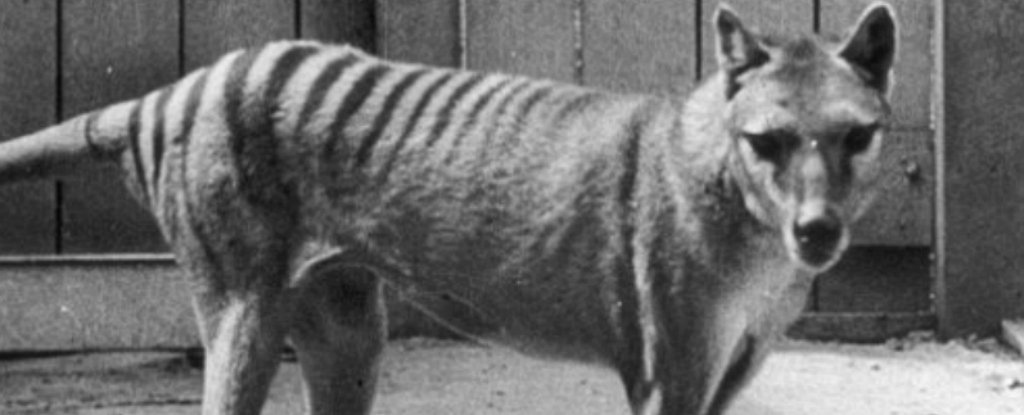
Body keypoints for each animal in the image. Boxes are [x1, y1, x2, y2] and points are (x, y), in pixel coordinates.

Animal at [0, 3, 897, 415]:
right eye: (767, 140)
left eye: (856, 136)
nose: (818, 230)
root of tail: (172, 93)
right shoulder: (667, 372)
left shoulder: (723, 374)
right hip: (242, 312)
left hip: (346, 326)